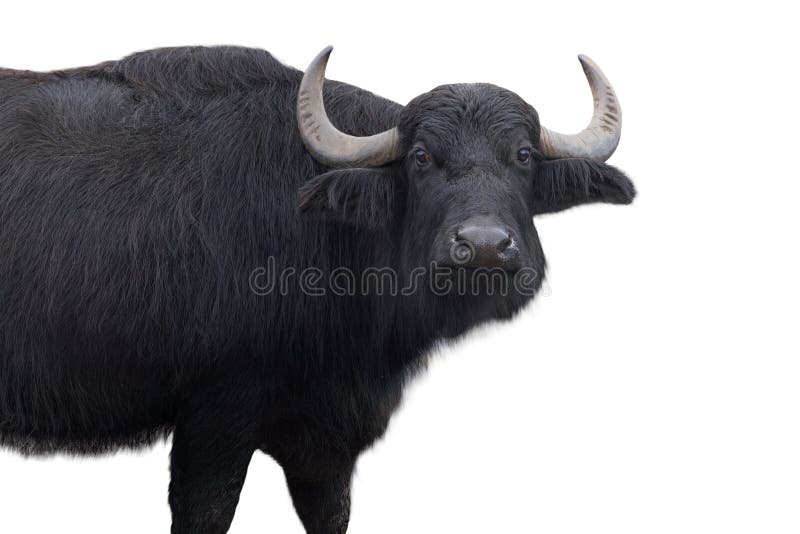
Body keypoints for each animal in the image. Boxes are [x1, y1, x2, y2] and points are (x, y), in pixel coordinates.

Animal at [0, 45, 635, 533]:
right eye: (422, 157)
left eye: (522, 156)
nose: (482, 247)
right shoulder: (215, 410)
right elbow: (206, 512)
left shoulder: (327, 439)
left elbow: (331, 513)